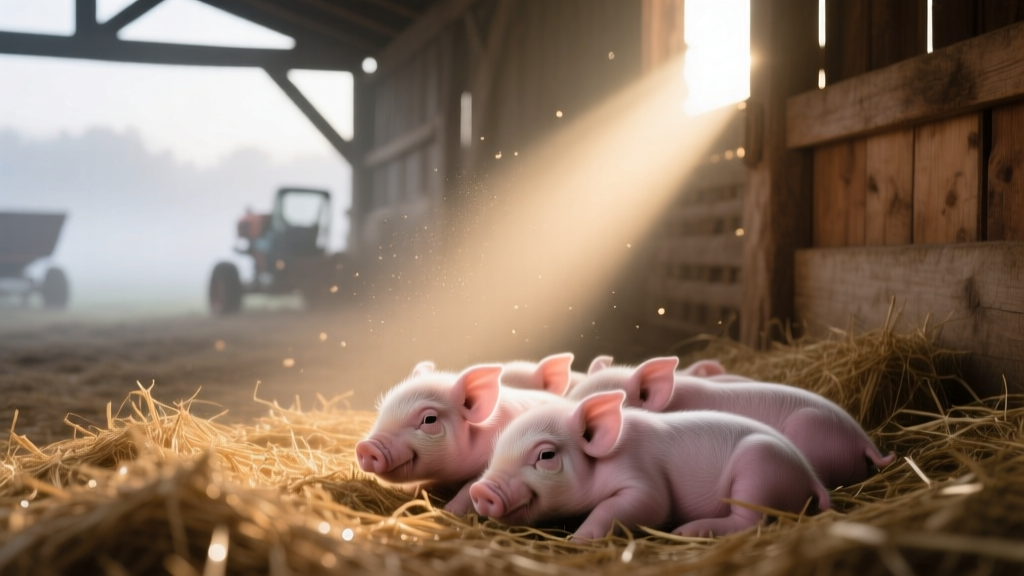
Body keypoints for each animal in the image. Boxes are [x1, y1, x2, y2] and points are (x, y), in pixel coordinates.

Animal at [470, 390, 830, 540]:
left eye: (545, 456)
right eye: (496, 452)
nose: (479, 490)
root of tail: (810, 476)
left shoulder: (641, 475)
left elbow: (645, 505)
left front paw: (579, 540)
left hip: (760, 467)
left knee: (752, 521)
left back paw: (687, 531)